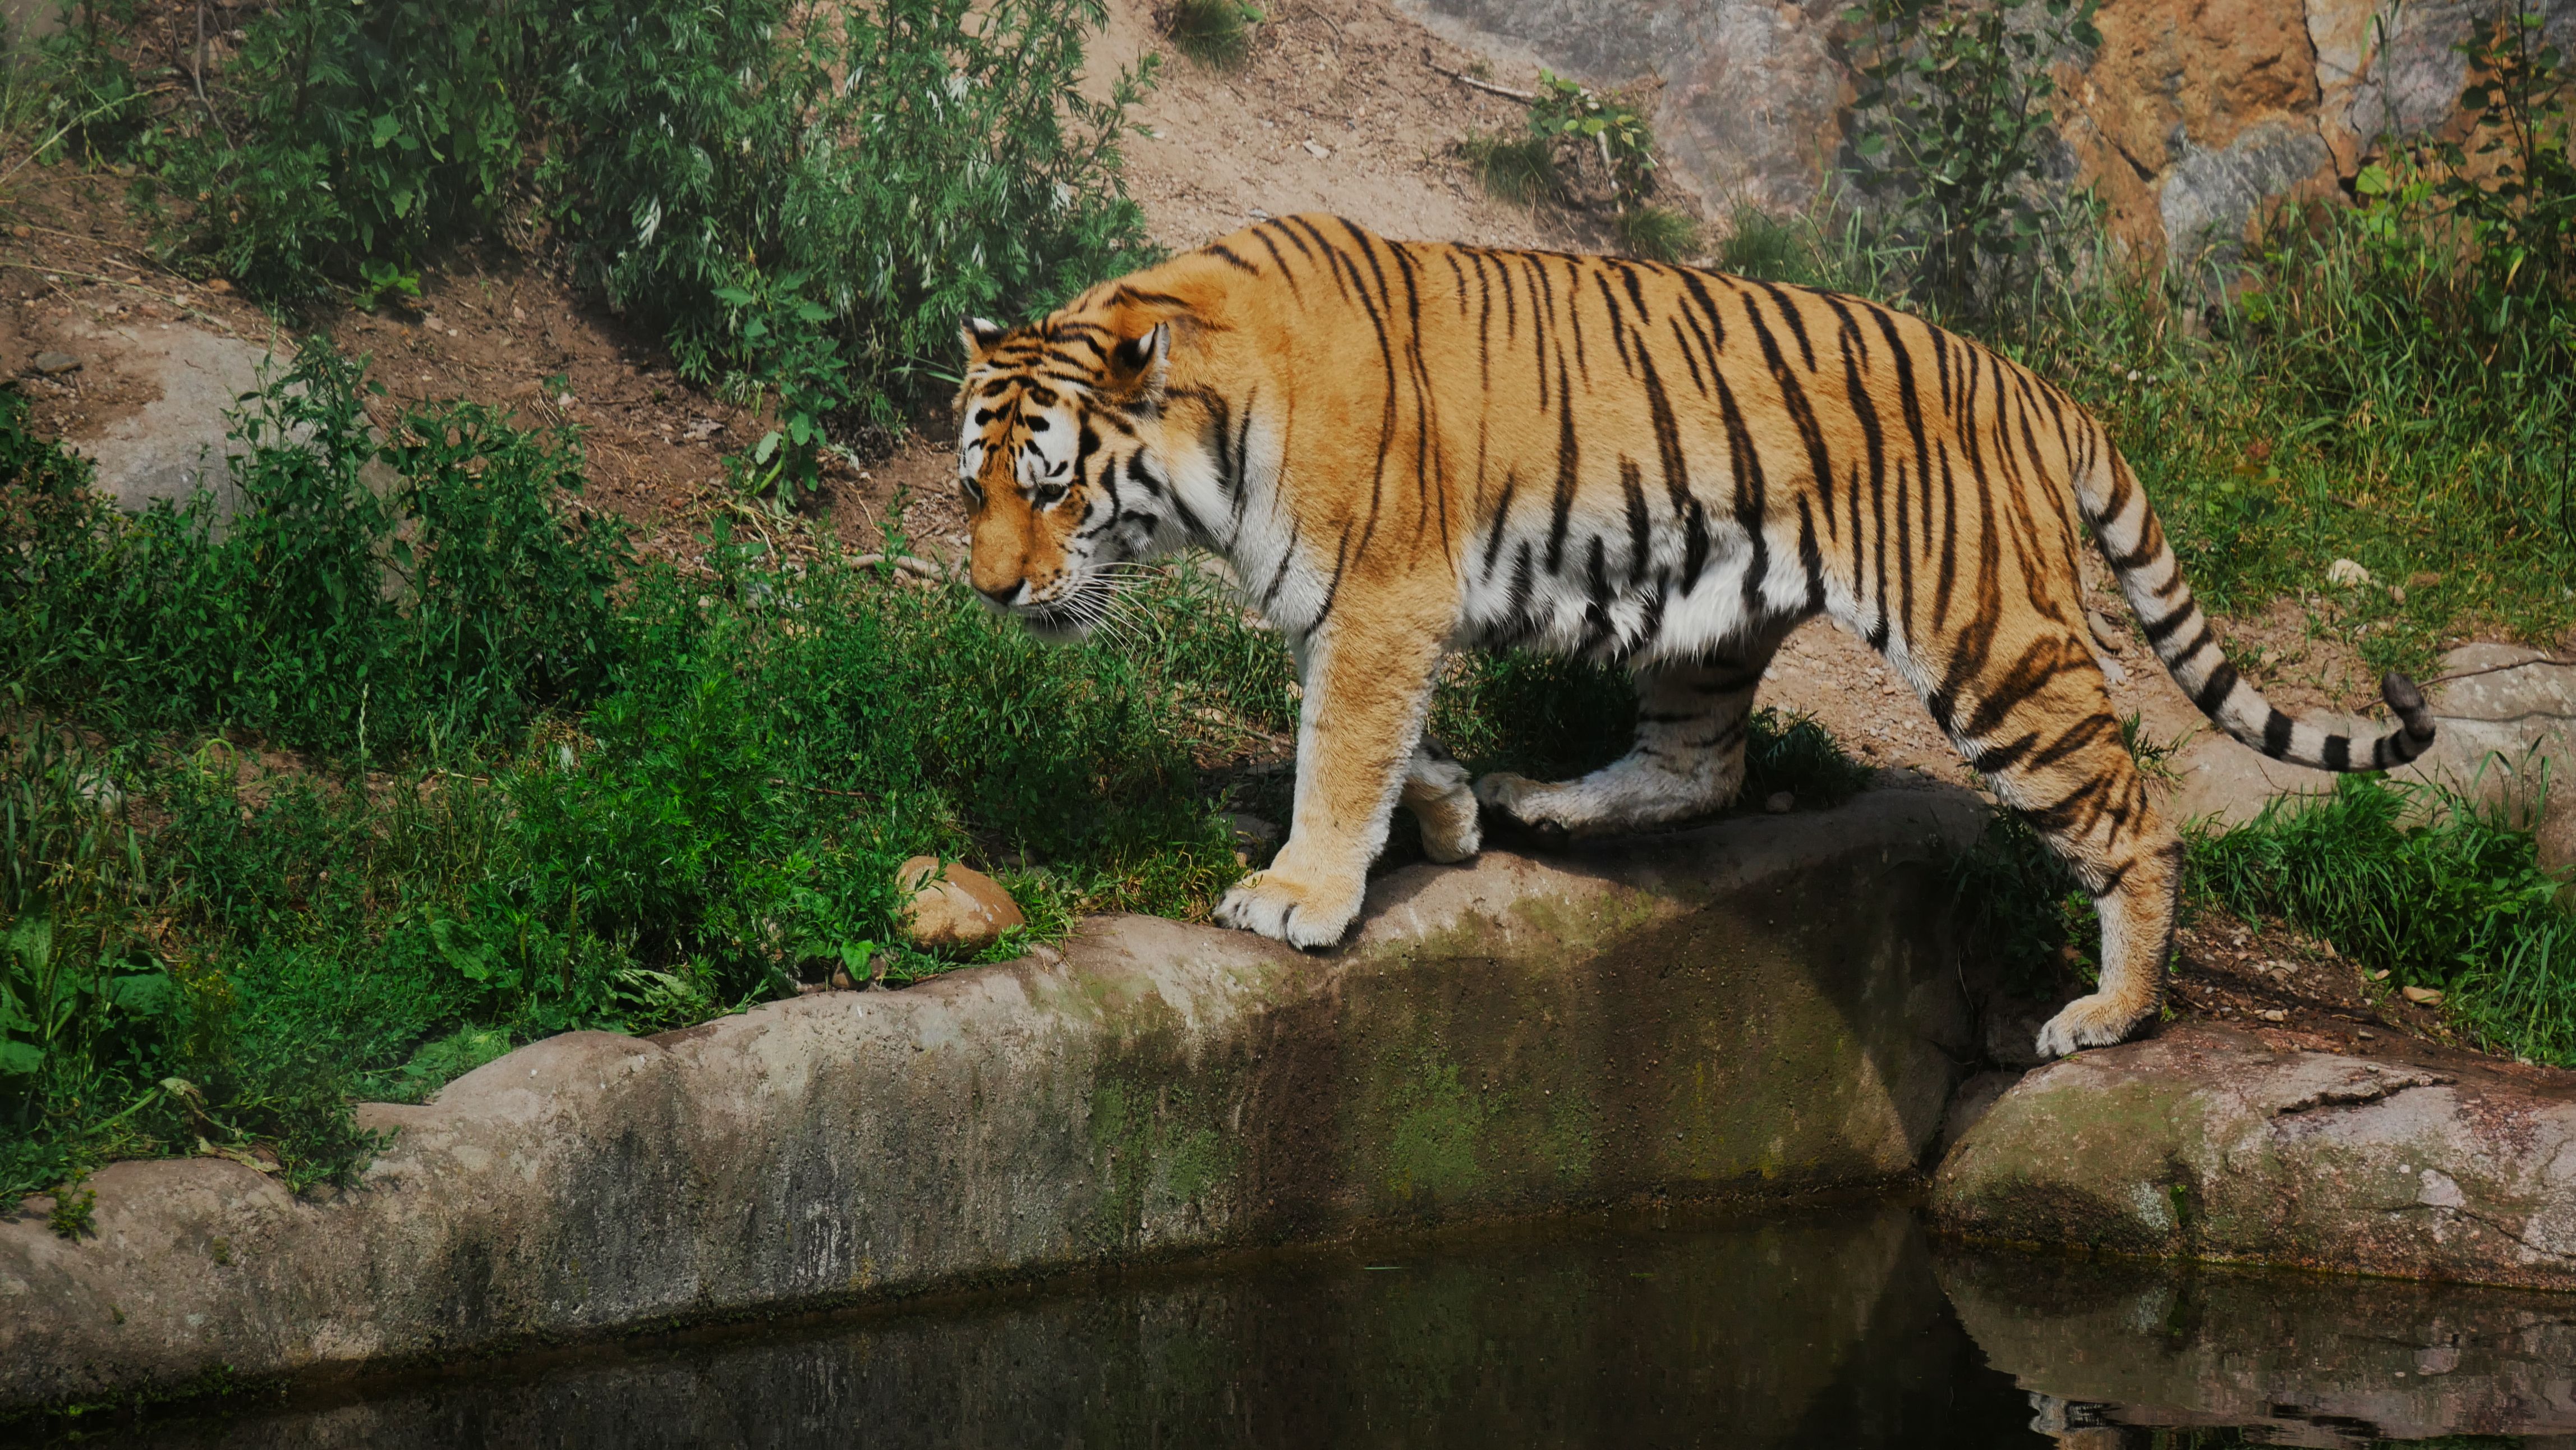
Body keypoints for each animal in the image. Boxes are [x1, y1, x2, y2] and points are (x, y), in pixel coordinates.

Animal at [953, 214, 2436, 1059]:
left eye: (1054, 489)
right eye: (975, 489)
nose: (989, 594)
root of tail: (2032, 381)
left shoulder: (1381, 597)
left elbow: (1342, 743)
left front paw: (1300, 894)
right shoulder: (1375, 613)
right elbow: (1371, 738)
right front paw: (1445, 809)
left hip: (1994, 646)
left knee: (2134, 821)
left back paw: (2108, 1017)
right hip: (1708, 622)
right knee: (1703, 767)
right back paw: (1541, 801)